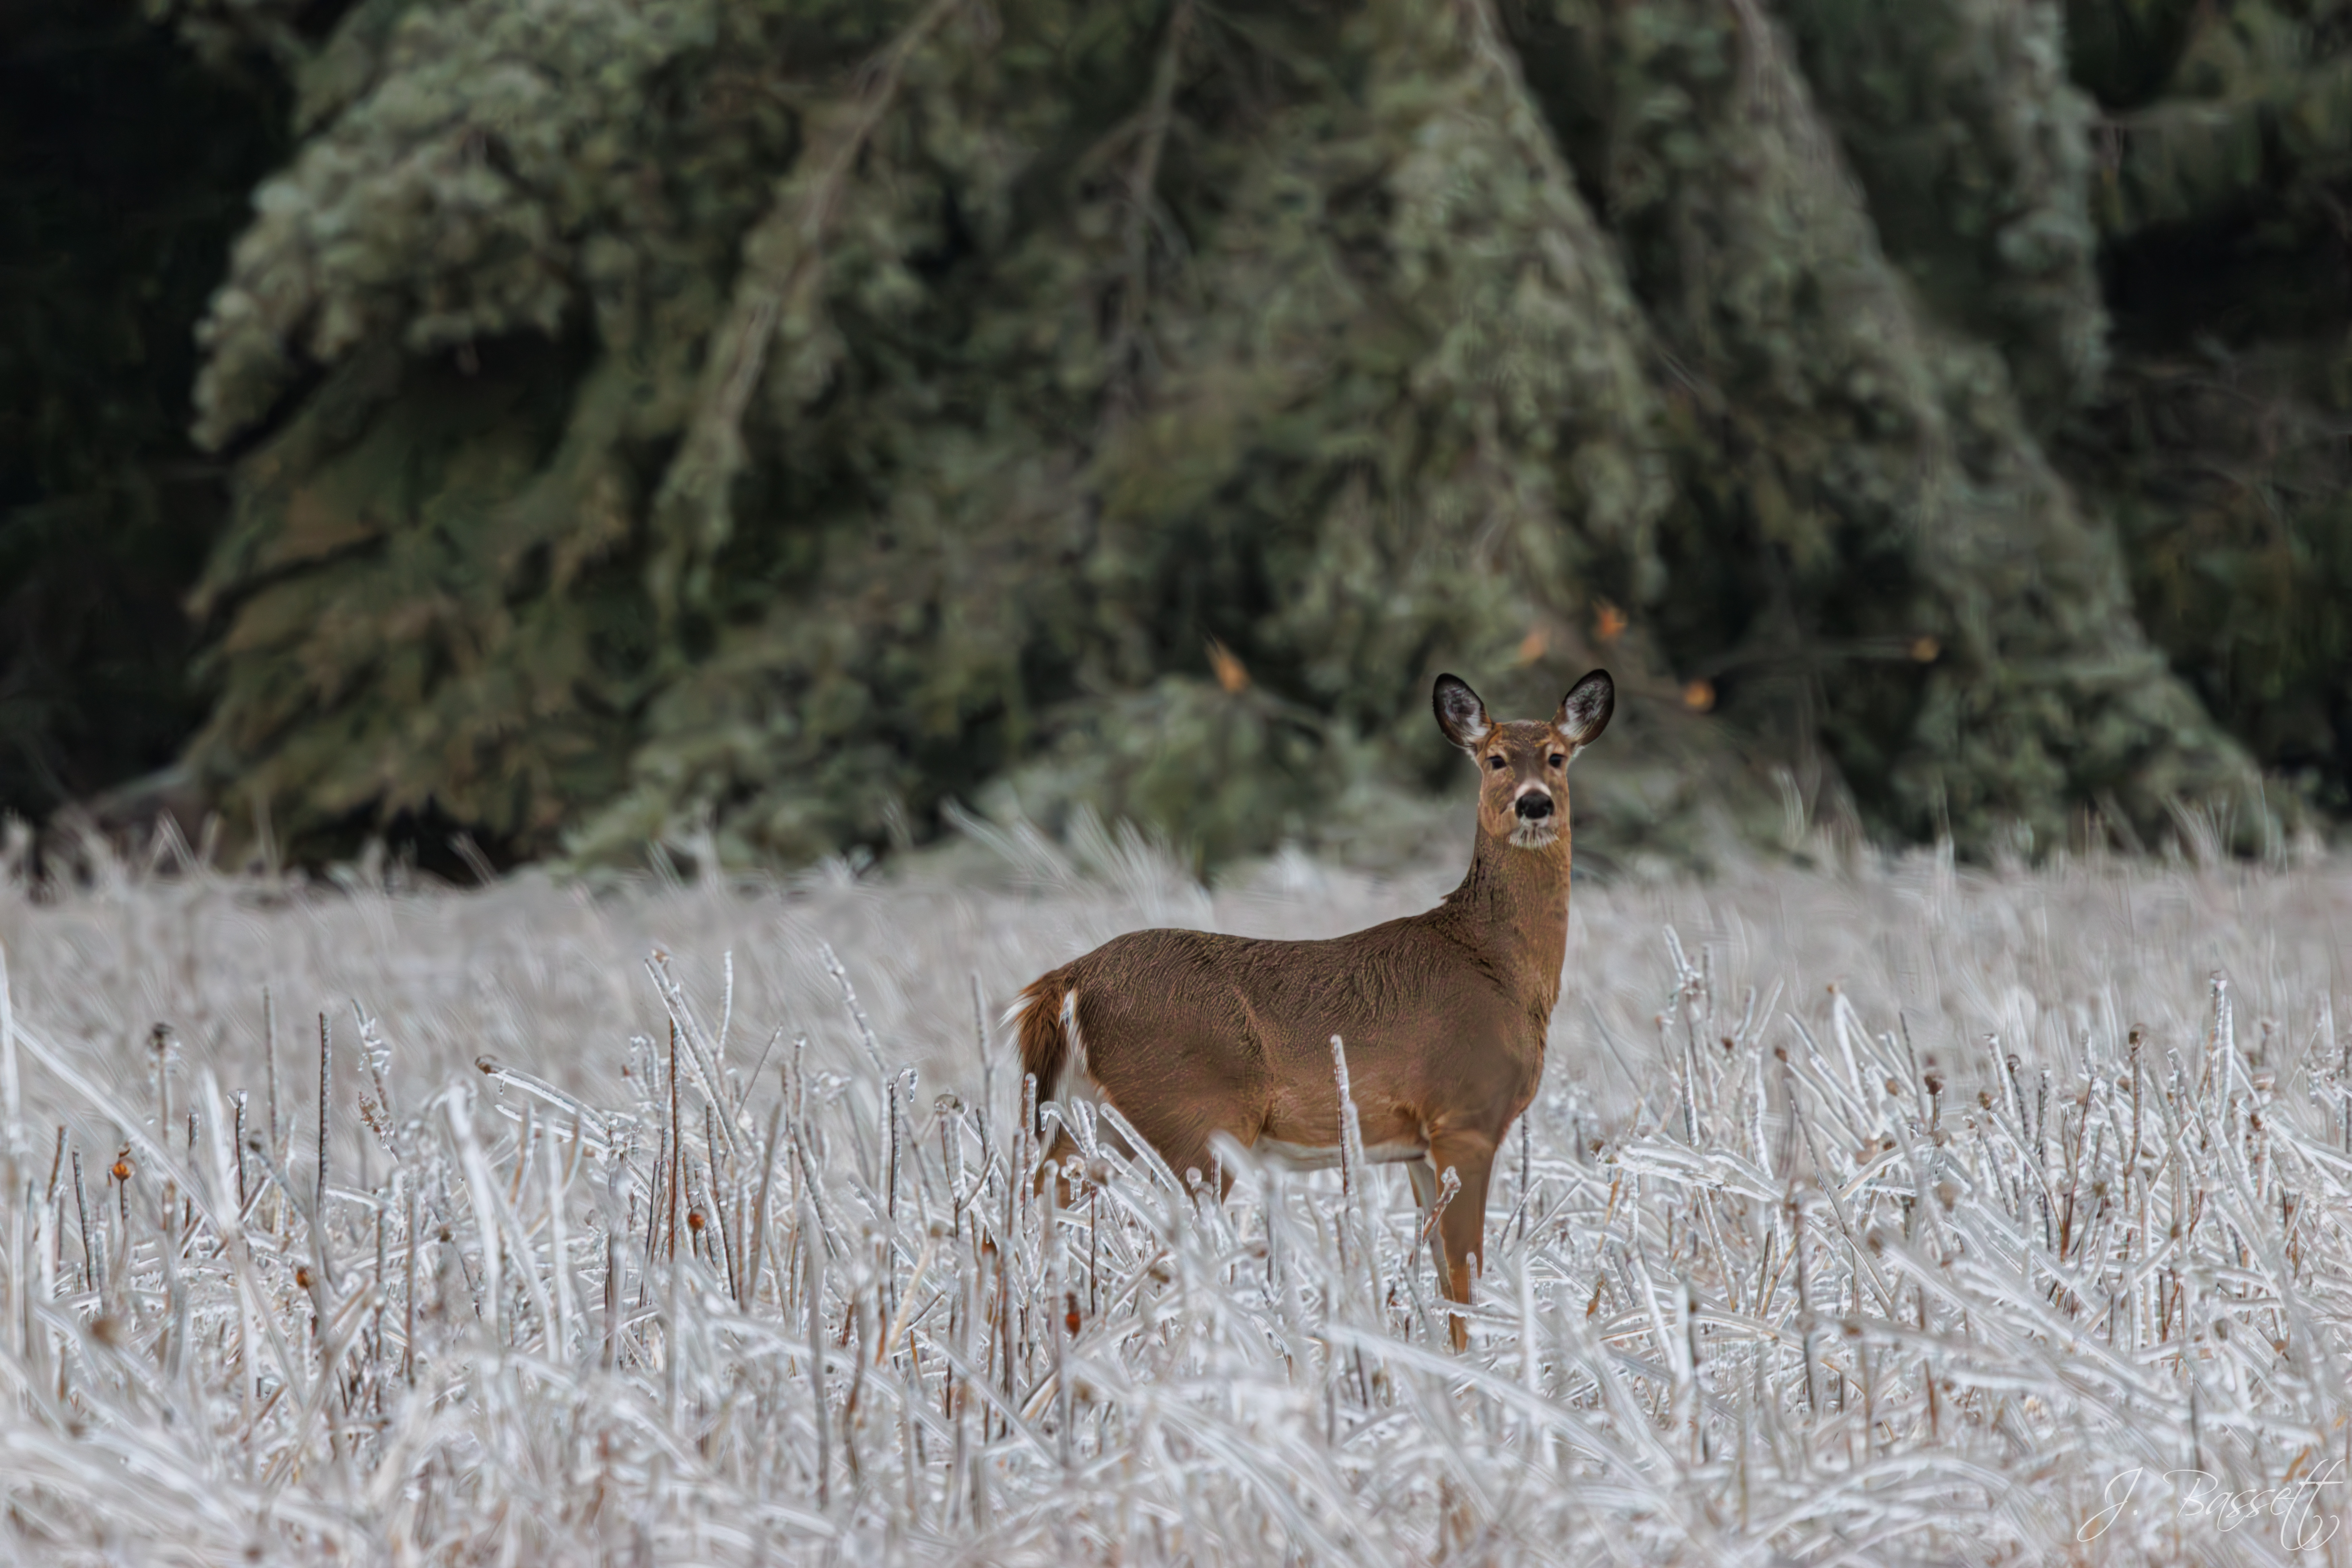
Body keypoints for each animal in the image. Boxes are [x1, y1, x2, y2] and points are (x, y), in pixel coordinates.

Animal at [1008, 669, 1613, 1346]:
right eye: (1496, 758)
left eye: (1558, 757)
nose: (1535, 804)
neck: (1499, 967)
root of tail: (1069, 979)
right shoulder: (1466, 1115)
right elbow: (1464, 1272)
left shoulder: (1420, 1143)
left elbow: (1439, 1264)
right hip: (1195, 1118)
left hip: (1087, 1117)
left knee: (1039, 1209)